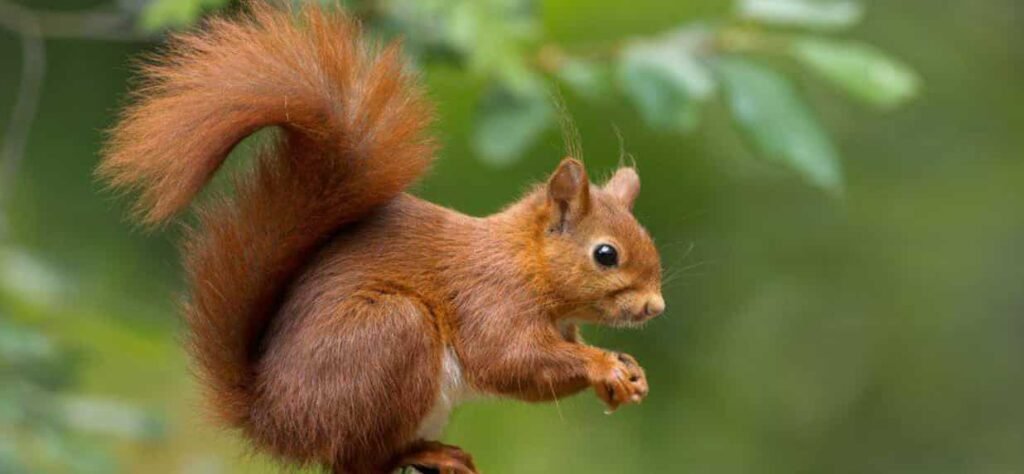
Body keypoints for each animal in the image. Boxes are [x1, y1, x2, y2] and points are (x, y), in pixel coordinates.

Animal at [98, 2, 664, 473]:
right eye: (606, 254)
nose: (655, 307)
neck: (526, 261)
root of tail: (274, 419)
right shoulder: (490, 299)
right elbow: (509, 360)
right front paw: (603, 365)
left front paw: (628, 373)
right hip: (391, 336)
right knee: (356, 461)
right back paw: (425, 453)